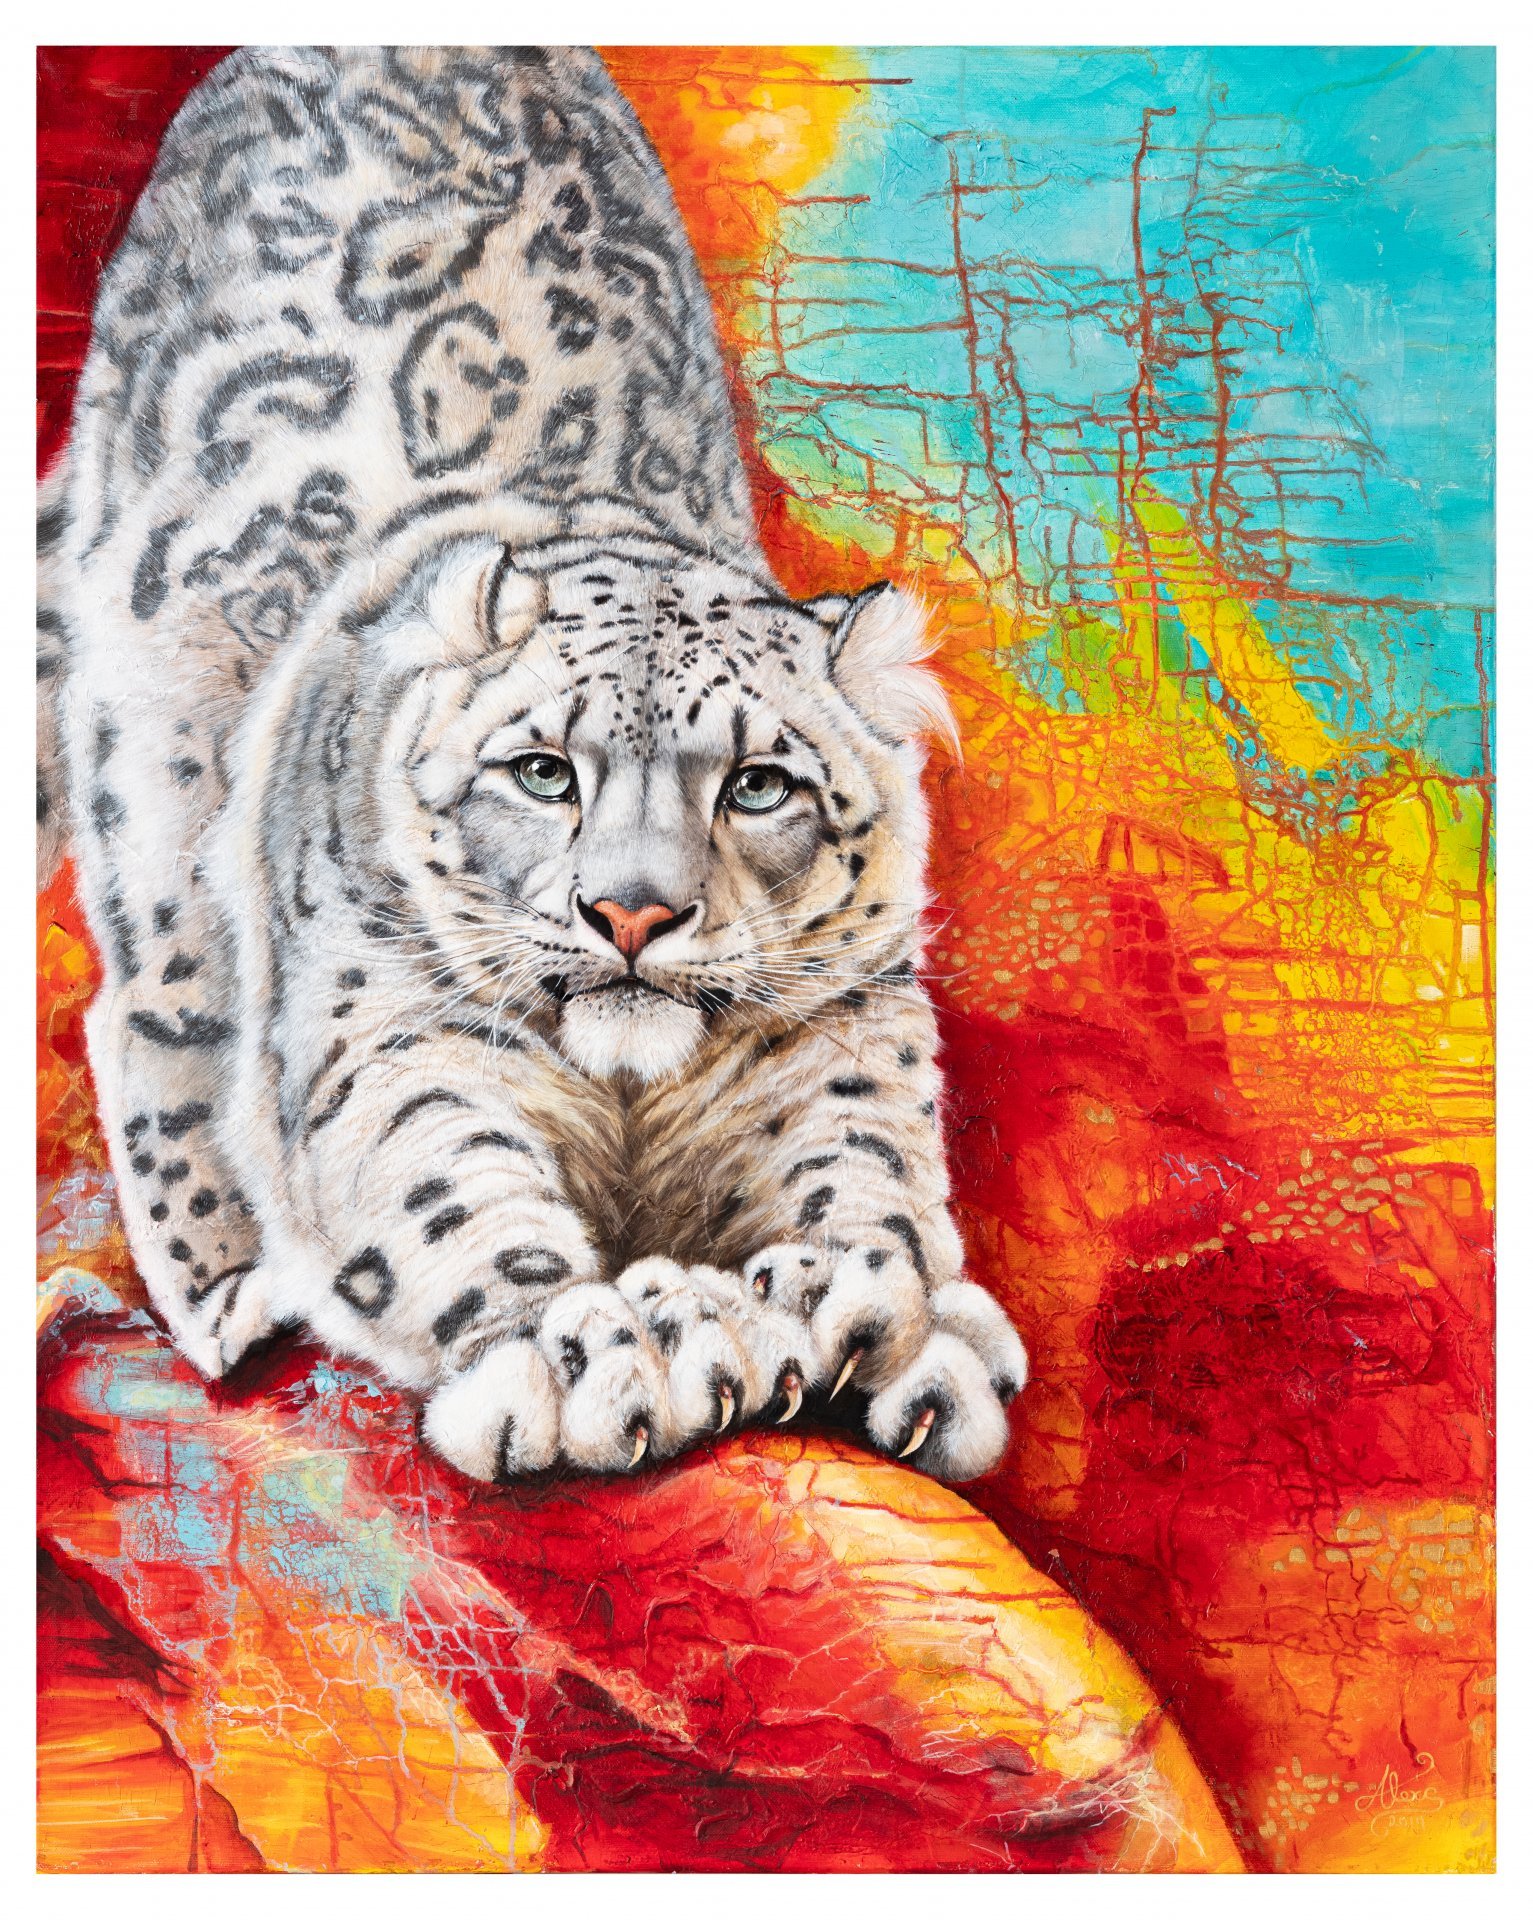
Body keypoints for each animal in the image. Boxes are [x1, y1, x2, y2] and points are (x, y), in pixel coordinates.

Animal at [37, 45, 1027, 1482]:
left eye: (758, 784)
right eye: (543, 772)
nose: (633, 913)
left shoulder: (842, 1024)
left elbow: (867, 1160)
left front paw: (871, 1310)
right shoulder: (396, 1030)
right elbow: (445, 1175)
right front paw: (612, 1356)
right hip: (155, 768)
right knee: (157, 1016)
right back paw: (233, 1297)